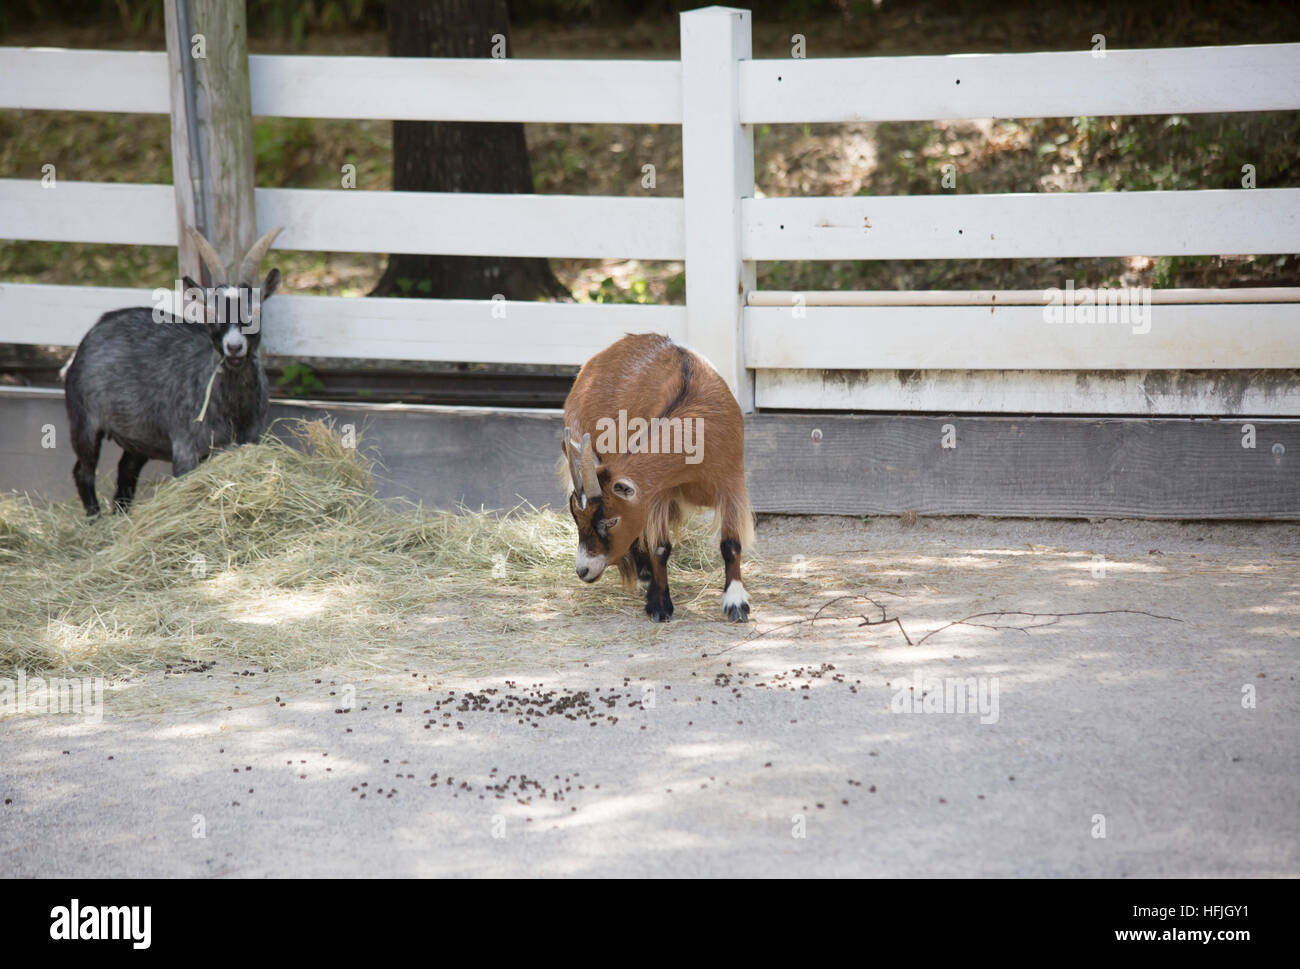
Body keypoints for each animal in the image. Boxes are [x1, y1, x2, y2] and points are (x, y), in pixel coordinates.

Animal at [64, 226, 282, 516]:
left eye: (254, 315)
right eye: (211, 317)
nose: (234, 347)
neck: (231, 408)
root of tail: (95, 329)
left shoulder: (250, 439)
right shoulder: (185, 449)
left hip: (138, 434)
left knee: (126, 470)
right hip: (83, 420)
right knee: (83, 471)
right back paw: (95, 519)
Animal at [562, 333, 754, 622]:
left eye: (611, 521)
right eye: (576, 518)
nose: (583, 570)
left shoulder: (731, 484)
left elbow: (731, 544)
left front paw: (735, 603)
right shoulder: (658, 494)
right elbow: (660, 548)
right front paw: (660, 604)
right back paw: (645, 576)